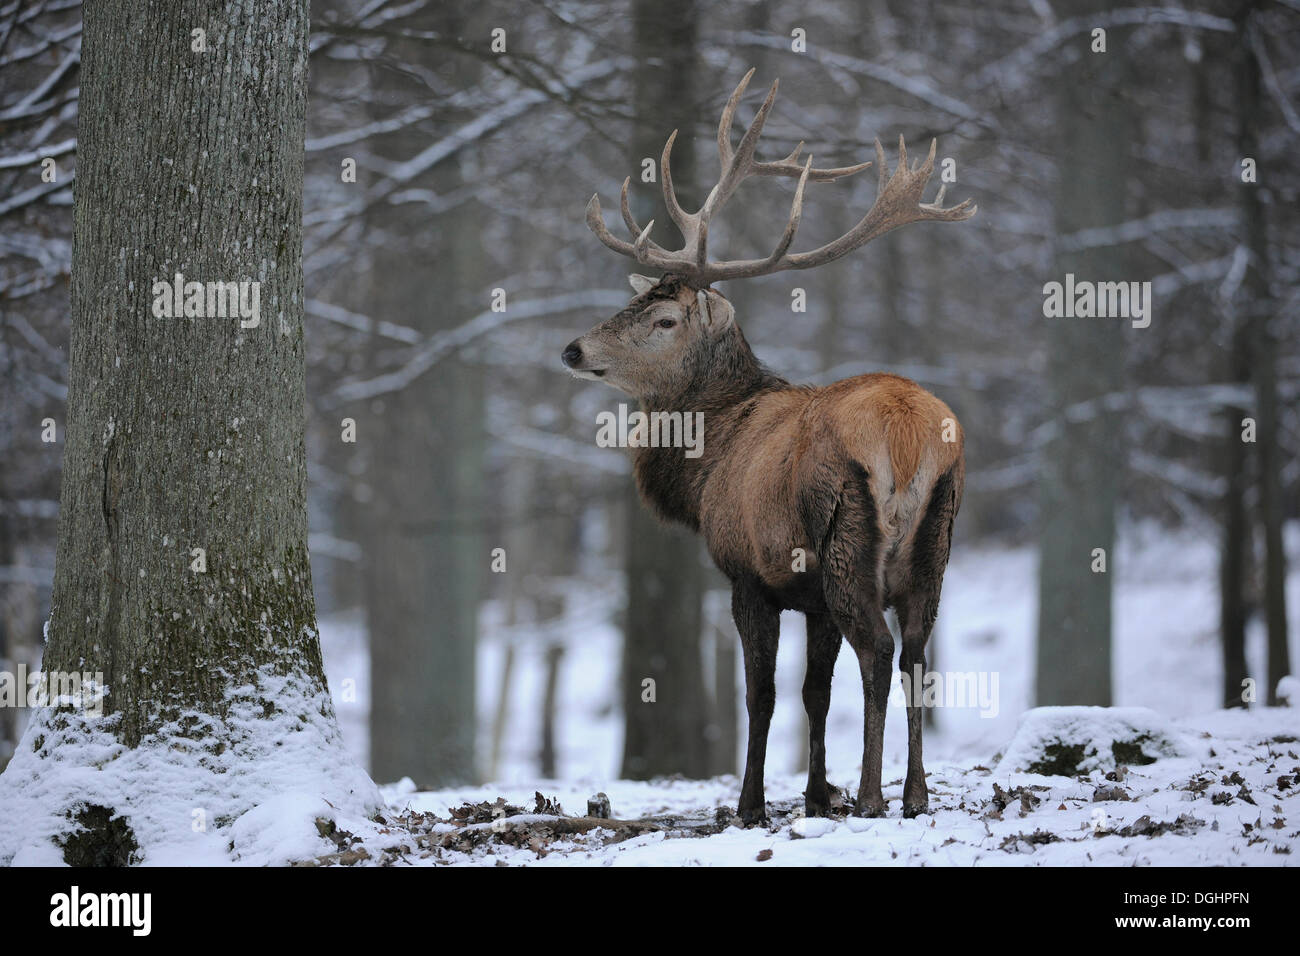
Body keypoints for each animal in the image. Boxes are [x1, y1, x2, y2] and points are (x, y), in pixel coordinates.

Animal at [562, 70, 976, 824]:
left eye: (665, 319)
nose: (573, 349)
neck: (705, 466)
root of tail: (909, 437)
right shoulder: (808, 597)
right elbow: (816, 691)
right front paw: (813, 796)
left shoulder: (748, 573)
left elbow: (763, 695)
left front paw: (752, 804)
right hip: (937, 539)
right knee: (917, 654)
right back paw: (914, 794)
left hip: (847, 536)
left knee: (879, 649)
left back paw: (870, 795)